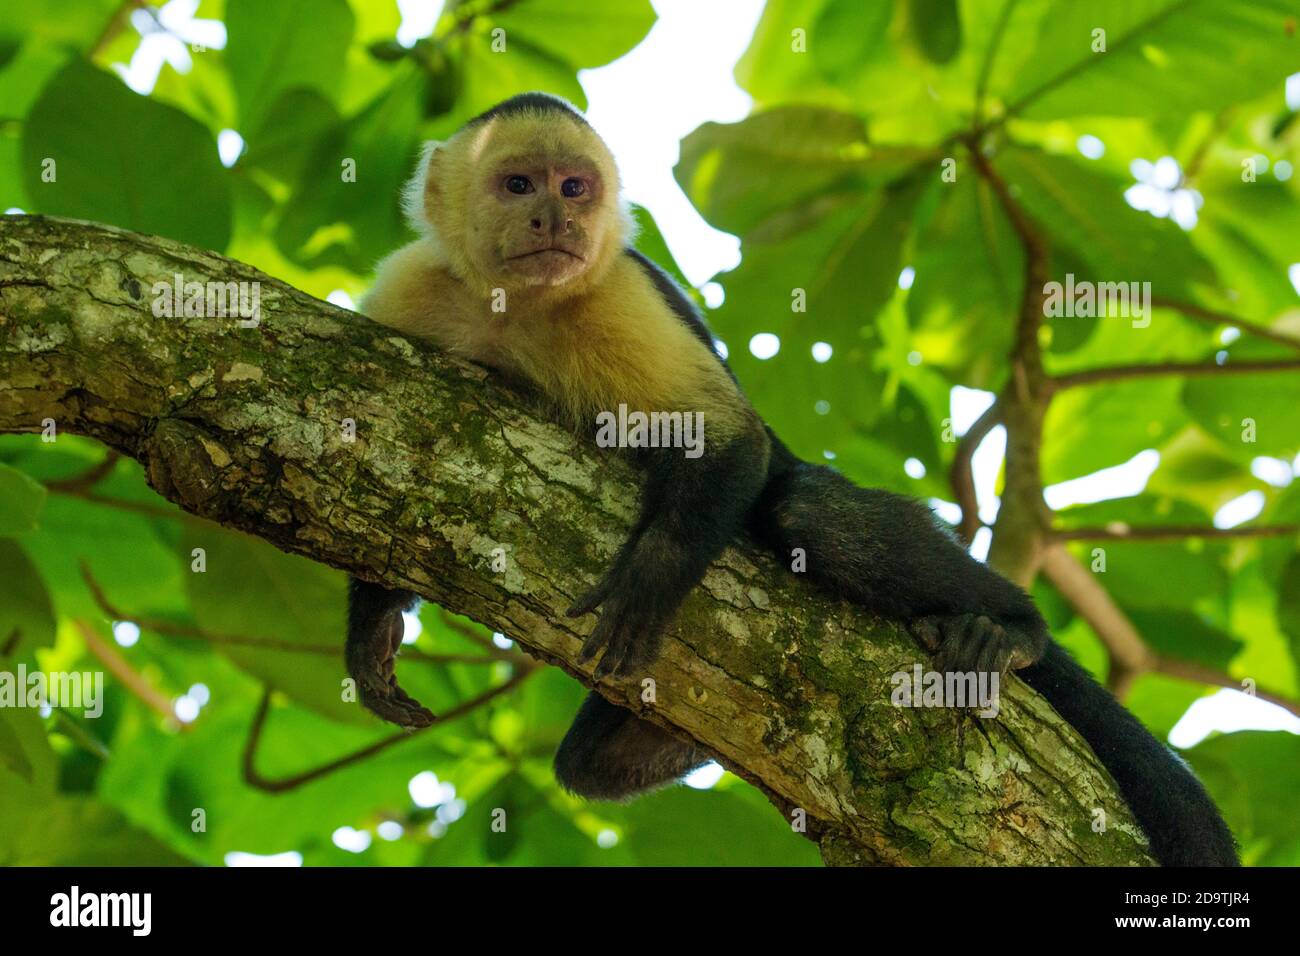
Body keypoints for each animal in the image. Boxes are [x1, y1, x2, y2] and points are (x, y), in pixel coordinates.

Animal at [345, 92, 1237, 866]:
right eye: (518, 185)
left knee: (808, 512)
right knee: (588, 768)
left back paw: (1013, 629)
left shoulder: (619, 289)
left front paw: (649, 578)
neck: (518, 307)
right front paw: (372, 622)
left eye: (575, 188)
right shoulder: (410, 291)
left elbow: (729, 441)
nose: (556, 220)